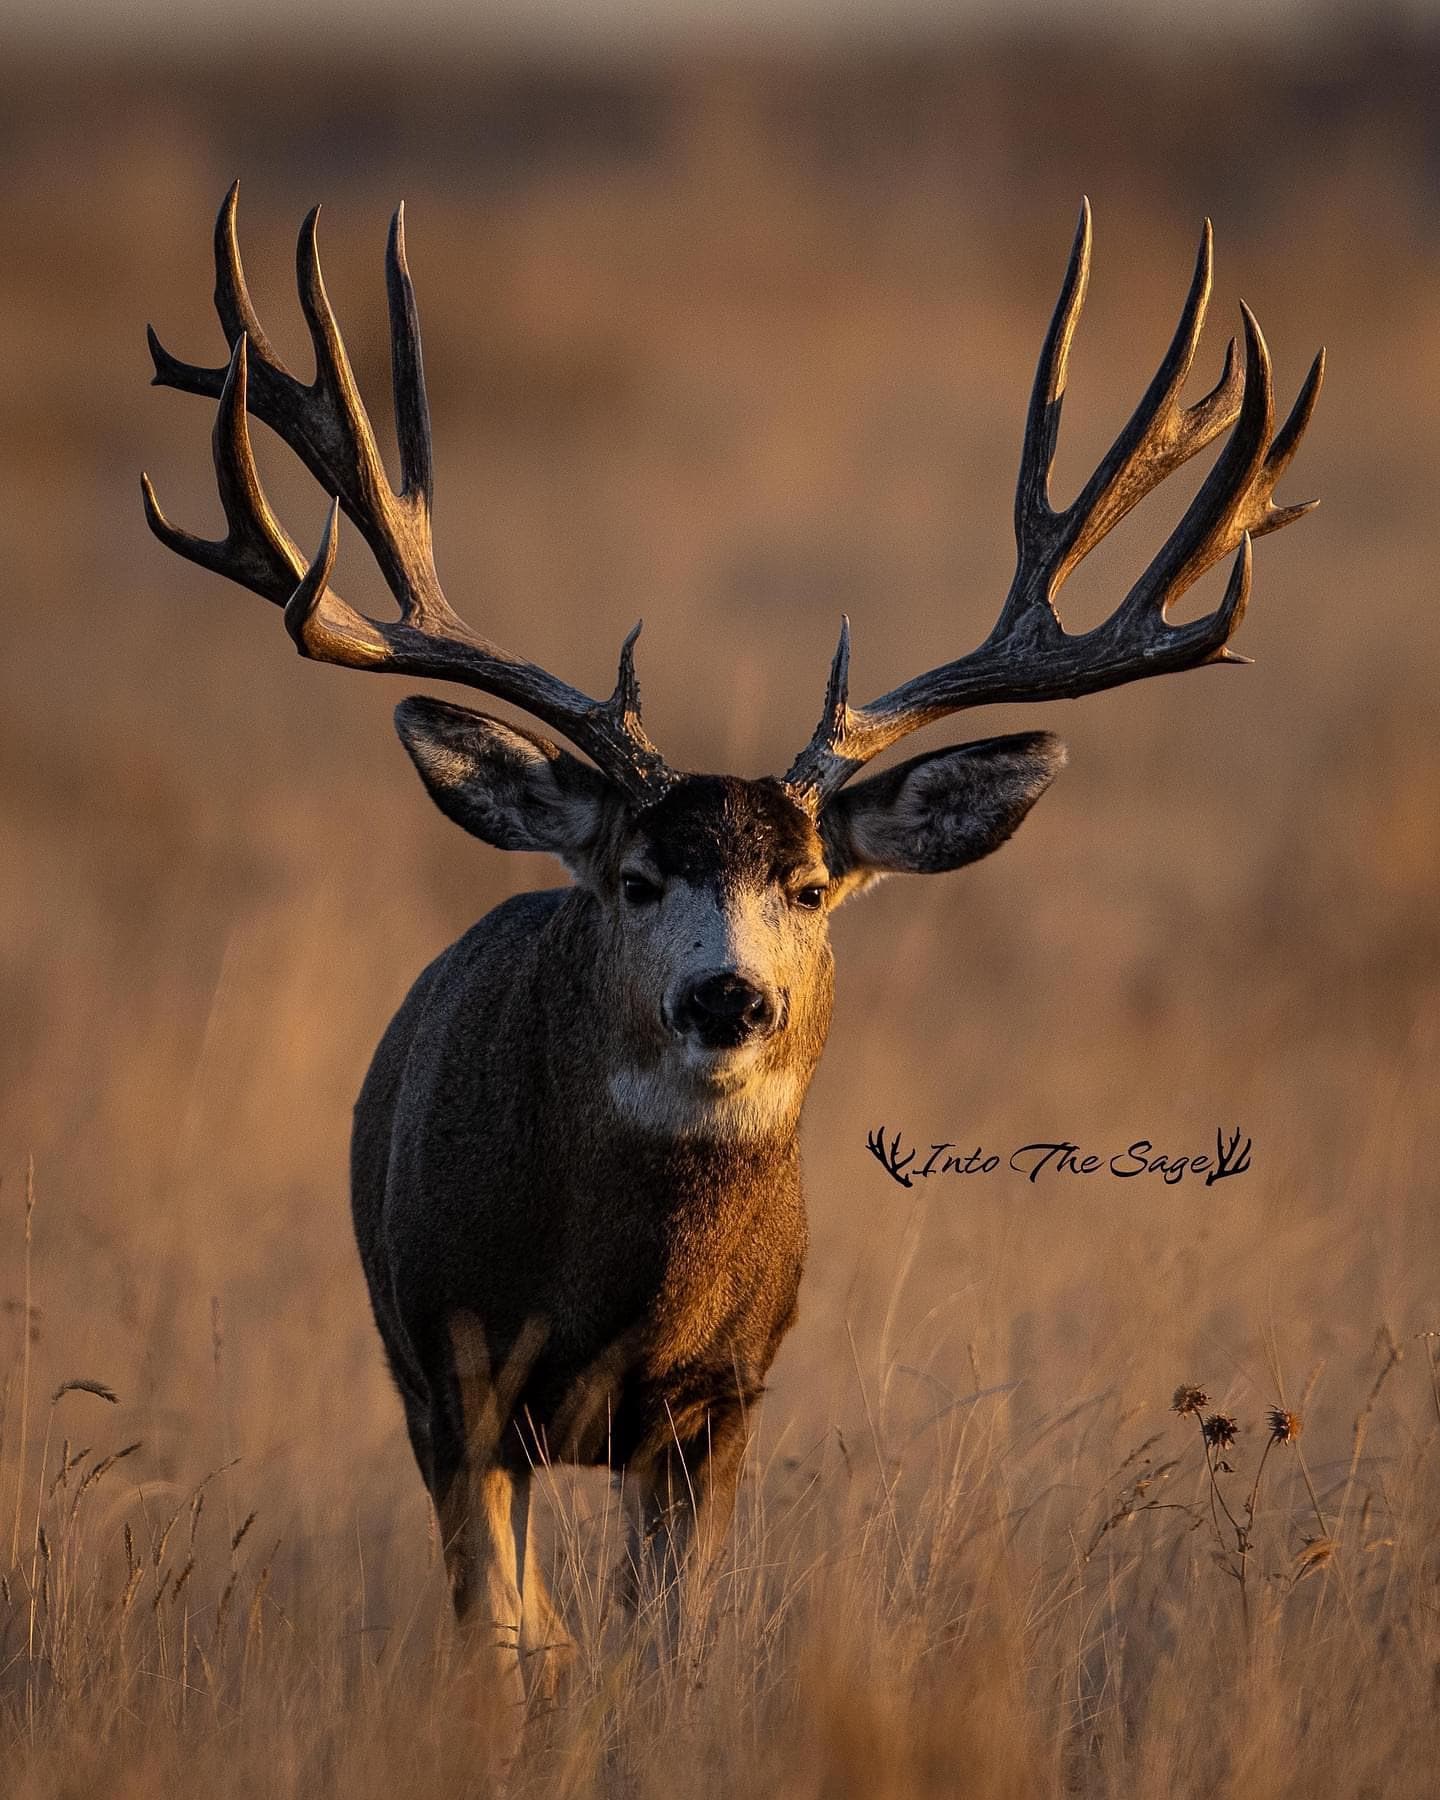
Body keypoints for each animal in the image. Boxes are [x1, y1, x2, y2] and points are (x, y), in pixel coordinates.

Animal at [142, 185, 1321, 1708]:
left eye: (812, 888)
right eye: (638, 878)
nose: (728, 997)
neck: (619, 1293)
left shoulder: (726, 1395)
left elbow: (668, 1642)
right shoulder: (460, 1376)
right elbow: (499, 1636)